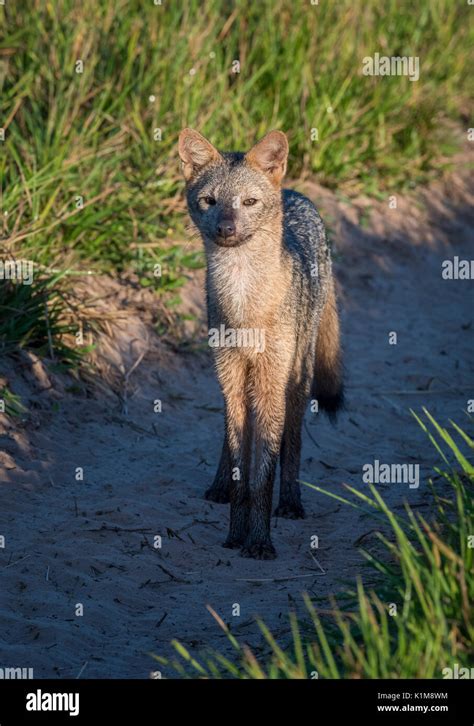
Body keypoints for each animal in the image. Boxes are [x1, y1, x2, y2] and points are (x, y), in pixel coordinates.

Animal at [178, 128, 343, 559]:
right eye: (210, 201)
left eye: (248, 203)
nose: (225, 229)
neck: (244, 308)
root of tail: (297, 195)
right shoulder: (231, 374)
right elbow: (242, 469)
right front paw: (236, 534)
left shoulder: (272, 381)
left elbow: (265, 472)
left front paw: (260, 541)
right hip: (239, 384)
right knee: (230, 435)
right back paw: (218, 485)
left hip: (297, 379)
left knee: (293, 443)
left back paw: (291, 501)